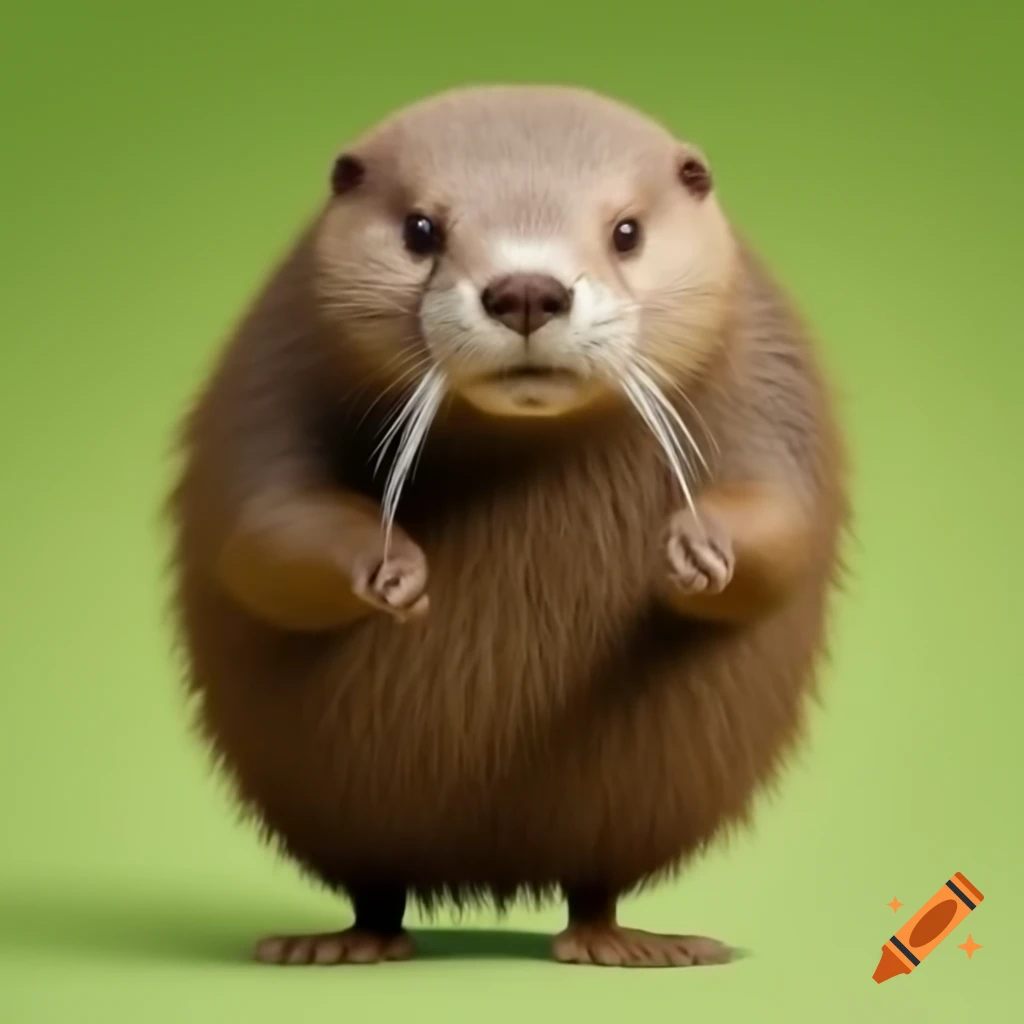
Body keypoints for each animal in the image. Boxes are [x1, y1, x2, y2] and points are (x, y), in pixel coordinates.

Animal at [167, 84, 848, 968]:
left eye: (627, 231)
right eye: (421, 229)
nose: (527, 290)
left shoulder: (771, 384)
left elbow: (785, 523)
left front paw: (698, 549)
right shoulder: (271, 372)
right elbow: (260, 531)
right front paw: (389, 567)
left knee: (595, 883)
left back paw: (627, 943)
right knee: (375, 886)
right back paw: (343, 944)